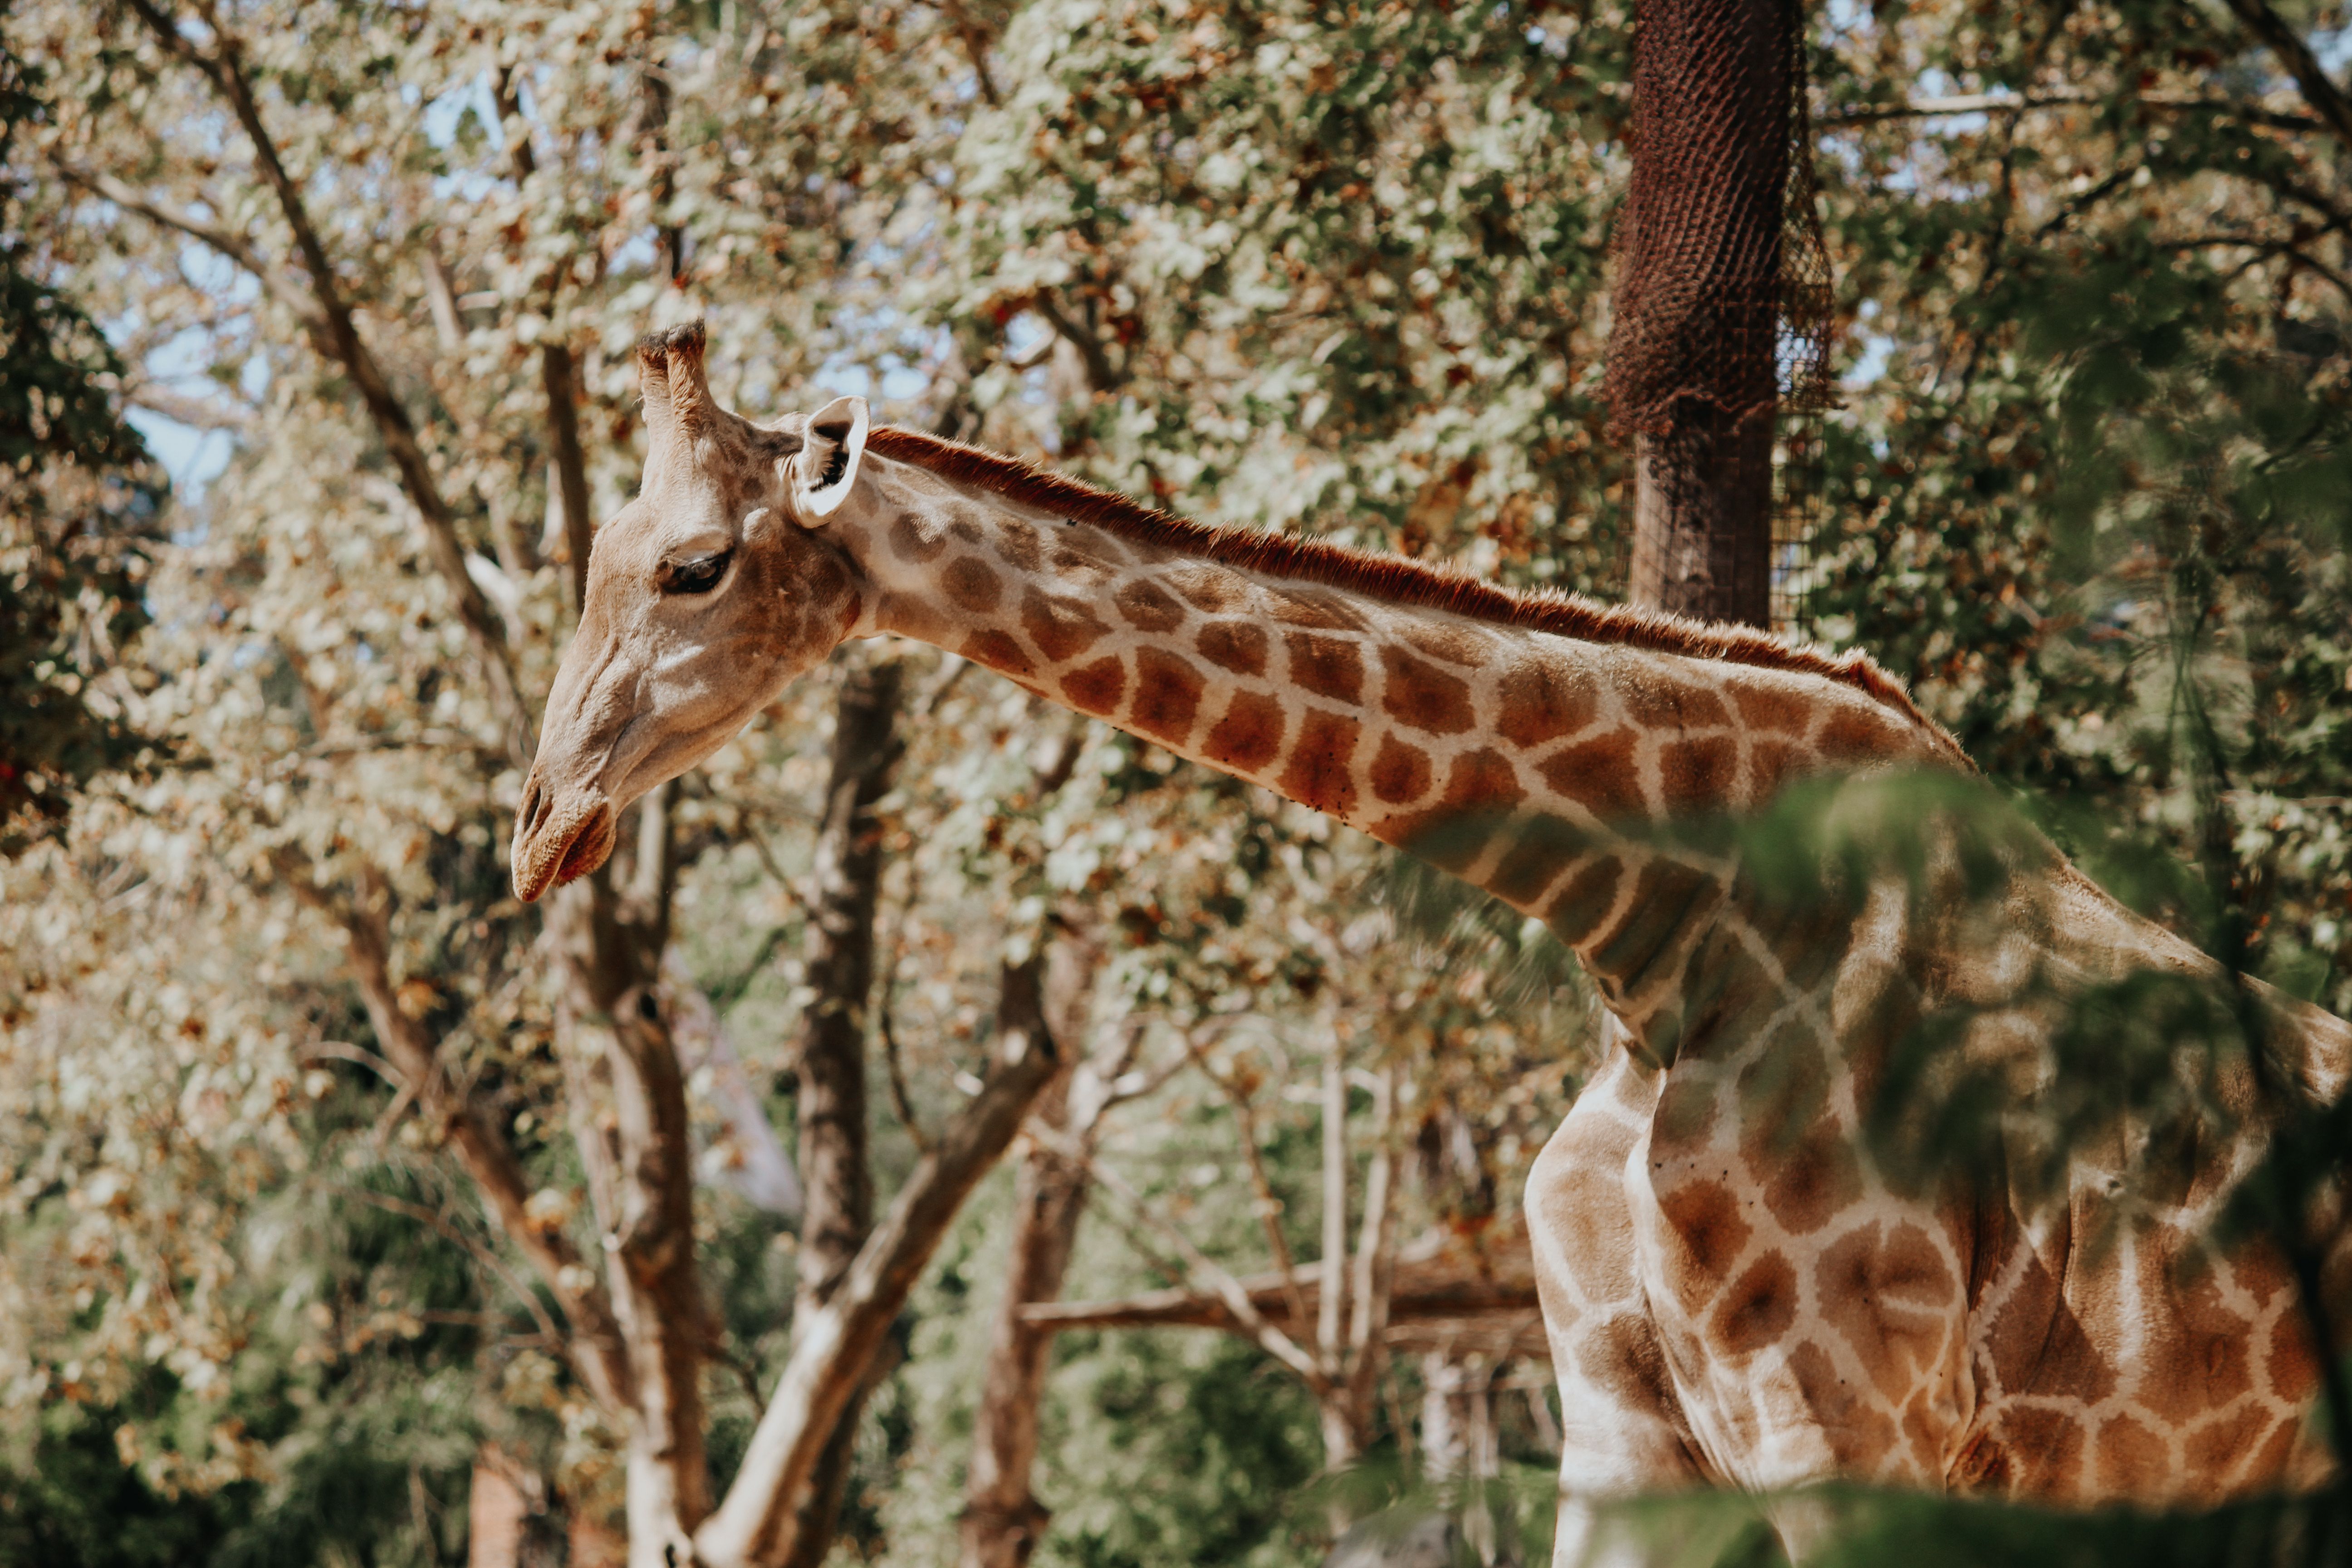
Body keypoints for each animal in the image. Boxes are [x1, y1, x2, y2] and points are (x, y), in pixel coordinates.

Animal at [511, 323, 2352, 1563]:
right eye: (594, 557)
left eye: (695, 568)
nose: (541, 825)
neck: (1658, 938)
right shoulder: (1623, 1428)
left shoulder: (1855, 1433)